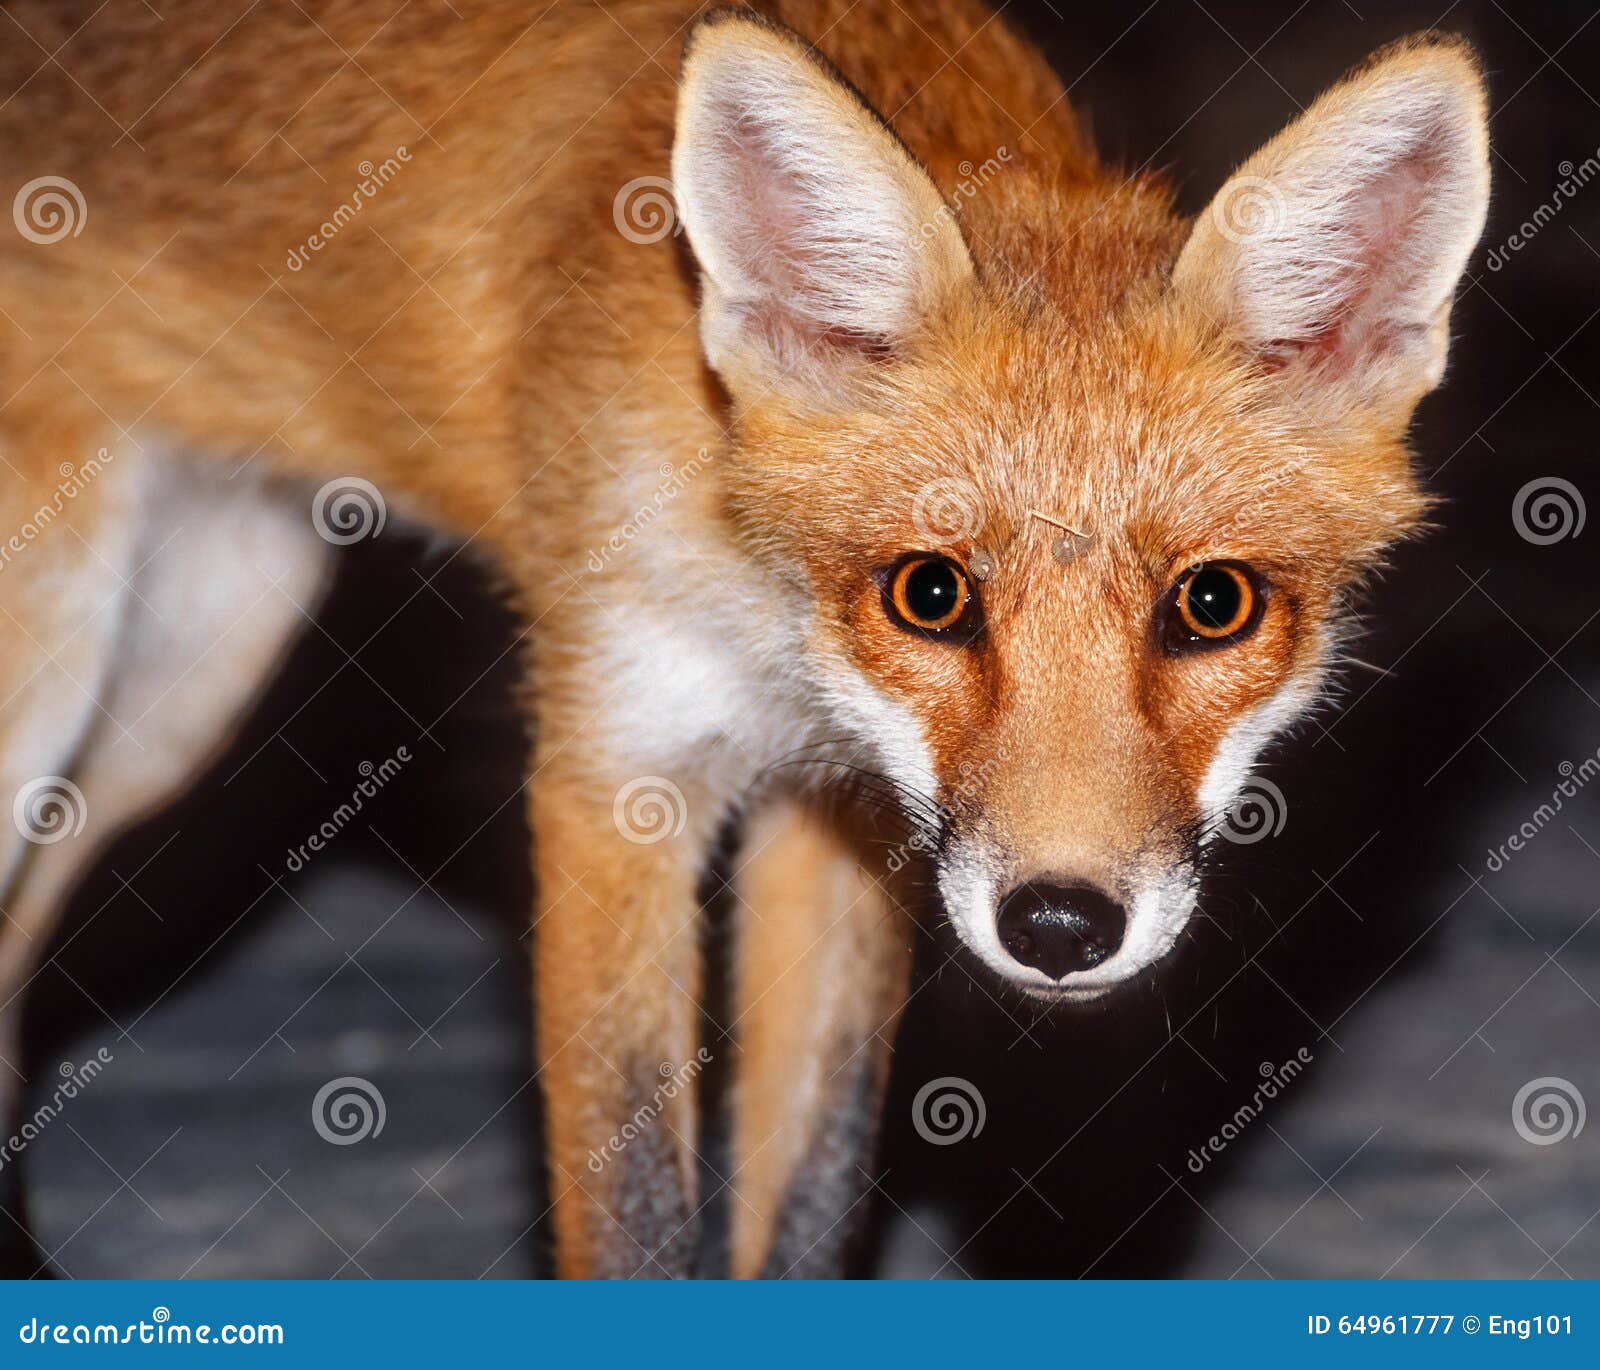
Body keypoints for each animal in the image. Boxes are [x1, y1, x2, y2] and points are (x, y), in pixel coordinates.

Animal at [0, 0, 1487, 1278]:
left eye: (1212, 604)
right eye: (929, 594)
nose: (1061, 925)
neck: (770, 637)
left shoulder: (851, 817)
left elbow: (813, 1198)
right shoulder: (614, 774)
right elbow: (637, 1208)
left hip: (189, 678)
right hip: (55, 681)